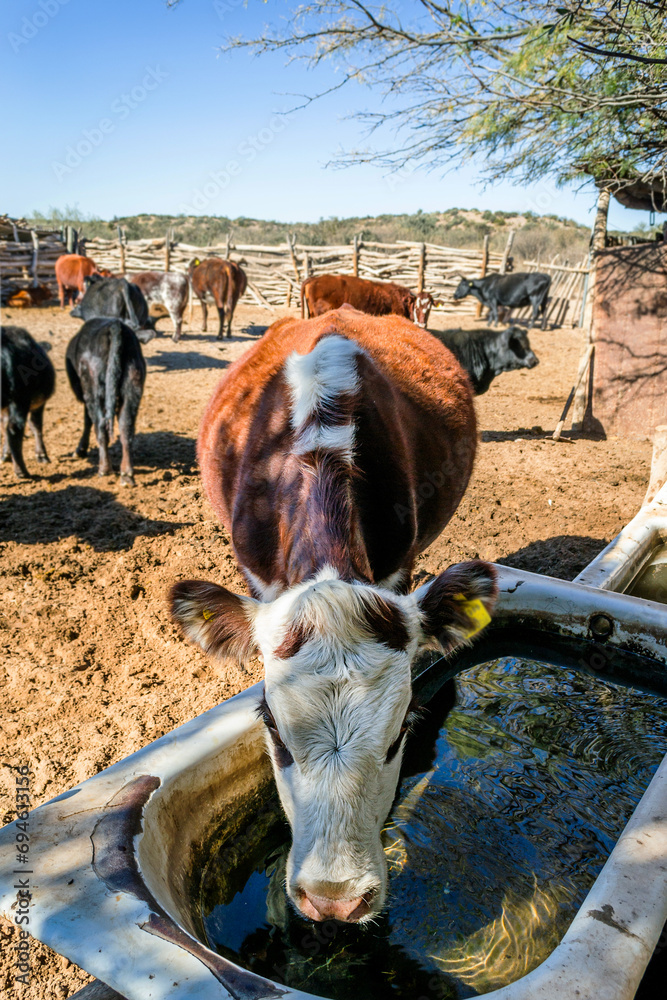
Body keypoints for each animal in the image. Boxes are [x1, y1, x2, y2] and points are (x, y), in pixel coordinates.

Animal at [1, 327, 55, 479]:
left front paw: (6, 454)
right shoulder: (39, 404)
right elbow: (36, 426)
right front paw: (42, 455)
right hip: (21, 401)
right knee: (15, 429)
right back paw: (22, 471)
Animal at [66, 319, 146, 486]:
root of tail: (114, 326)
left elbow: (87, 420)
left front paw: (80, 450)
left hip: (93, 388)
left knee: (101, 425)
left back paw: (104, 468)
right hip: (133, 384)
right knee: (126, 427)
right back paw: (126, 473)